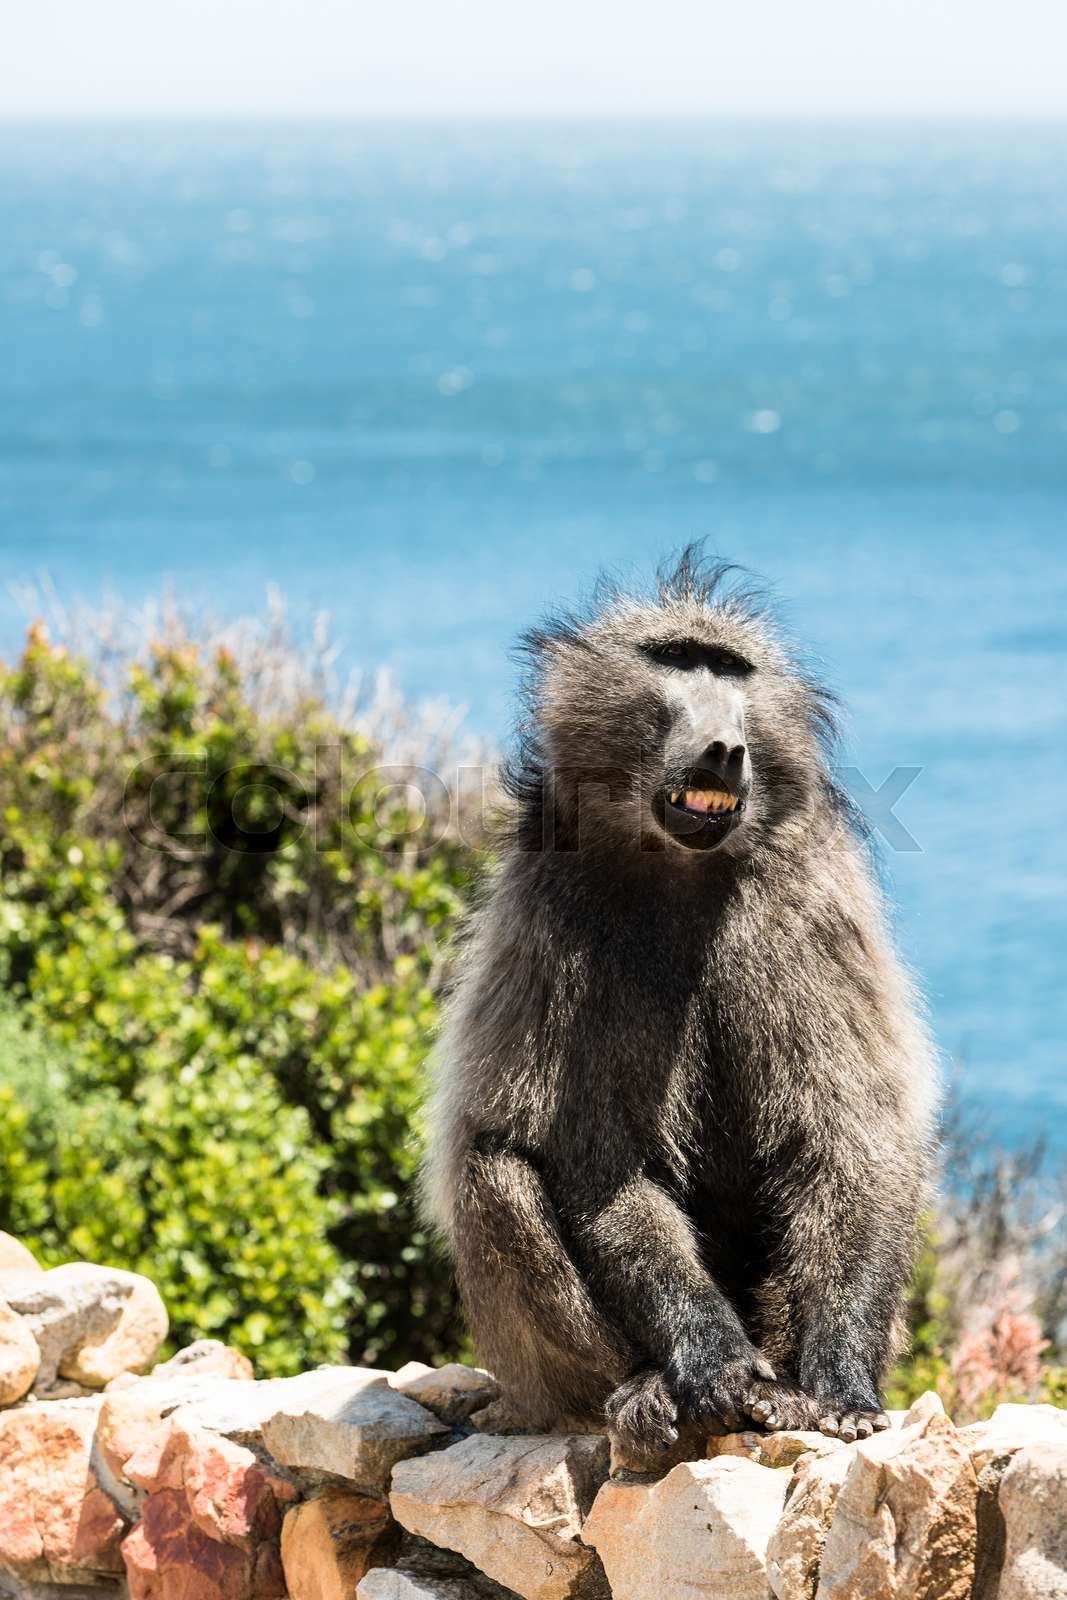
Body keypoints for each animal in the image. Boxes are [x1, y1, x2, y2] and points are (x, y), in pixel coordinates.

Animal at [423, 549, 938, 1448]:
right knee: (493, 1166)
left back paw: (786, 1388)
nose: (724, 746)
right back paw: (639, 1388)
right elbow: (598, 1162)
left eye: (729, 670)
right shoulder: (556, 913)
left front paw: (840, 1382)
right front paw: (710, 1360)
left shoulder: (807, 907)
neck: (682, 869)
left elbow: (851, 1133)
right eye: (673, 660)